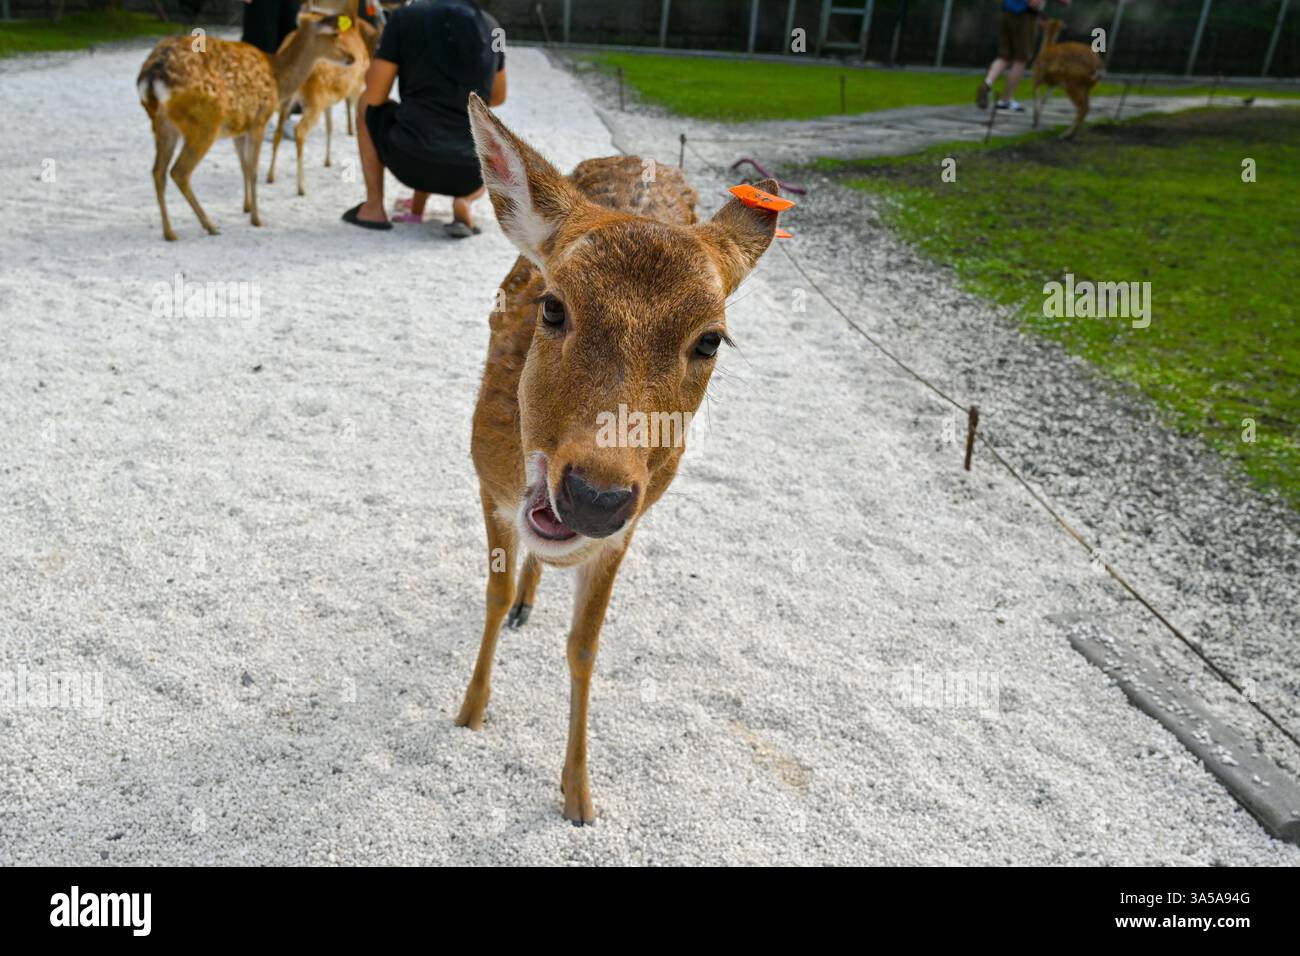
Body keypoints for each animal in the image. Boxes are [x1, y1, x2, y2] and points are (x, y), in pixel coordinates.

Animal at [136, 15, 356, 241]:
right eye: (335, 34)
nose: (352, 57)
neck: (278, 79)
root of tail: (152, 77)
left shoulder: (239, 128)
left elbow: (243, 166)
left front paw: (247, 207)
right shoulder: (259, 120)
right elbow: (253, 170)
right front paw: (257, 219)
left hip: (163, 126)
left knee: (158, 171)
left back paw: (169, 232)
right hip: (205, 123)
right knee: (179, 171)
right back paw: (209, 225)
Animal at [266, 6, 371, 196]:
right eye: (333, 35)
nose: (352, 58)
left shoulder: (328, 100)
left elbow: (330, 125)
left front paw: (327, 161)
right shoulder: (356, 87)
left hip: (290, 100)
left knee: (279, 132)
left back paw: (270, 176)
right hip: (315, 99)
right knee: (299, 131)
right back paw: (301, 187)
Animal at [454, 93, 790, 824]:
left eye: (711, 339)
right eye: (551, 306)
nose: (596, 495)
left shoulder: (626, 531)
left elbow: (585, 645)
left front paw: (579, 796)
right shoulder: (487, 482)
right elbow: (492, 595)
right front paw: (468, 713)